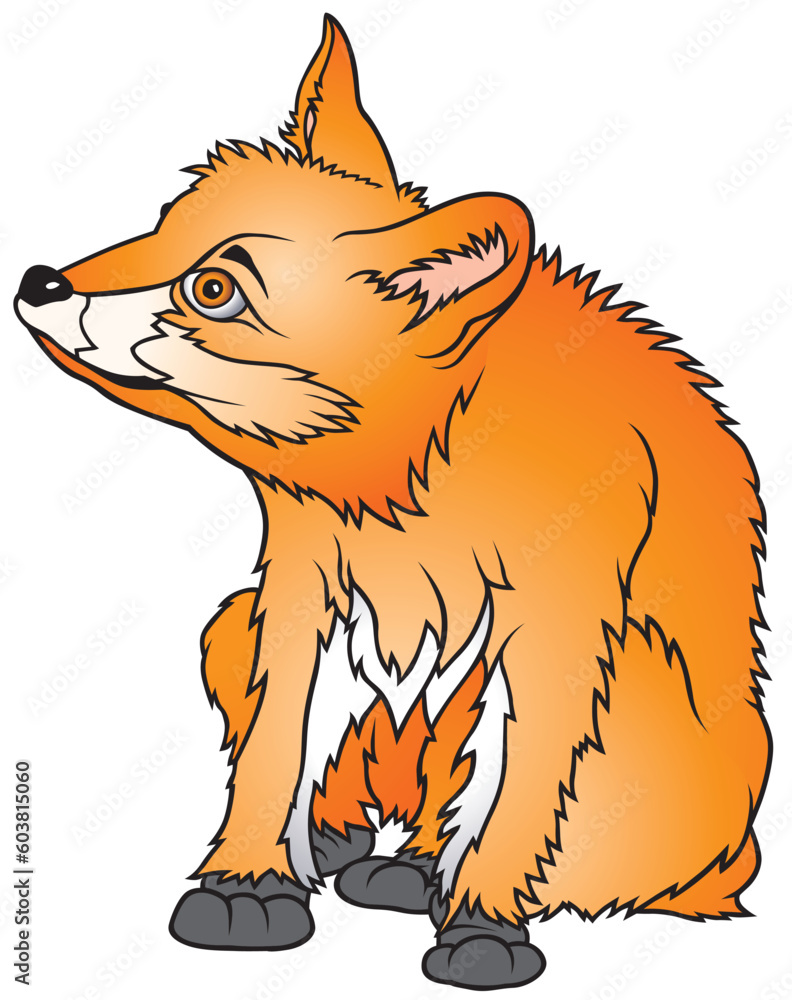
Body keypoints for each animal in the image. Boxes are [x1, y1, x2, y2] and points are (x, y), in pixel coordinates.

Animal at [14, 14, 770, 991]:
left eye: (213, 289)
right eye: (155, 230)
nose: (40, 280)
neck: (413, 497)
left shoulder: (557, 635)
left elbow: (513, 806)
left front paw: (484, 932)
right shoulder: (301, 593)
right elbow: (275, 757)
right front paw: (249, 887)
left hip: (631, 688)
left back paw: (426, 876)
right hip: (234, 622)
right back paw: (365, 853)